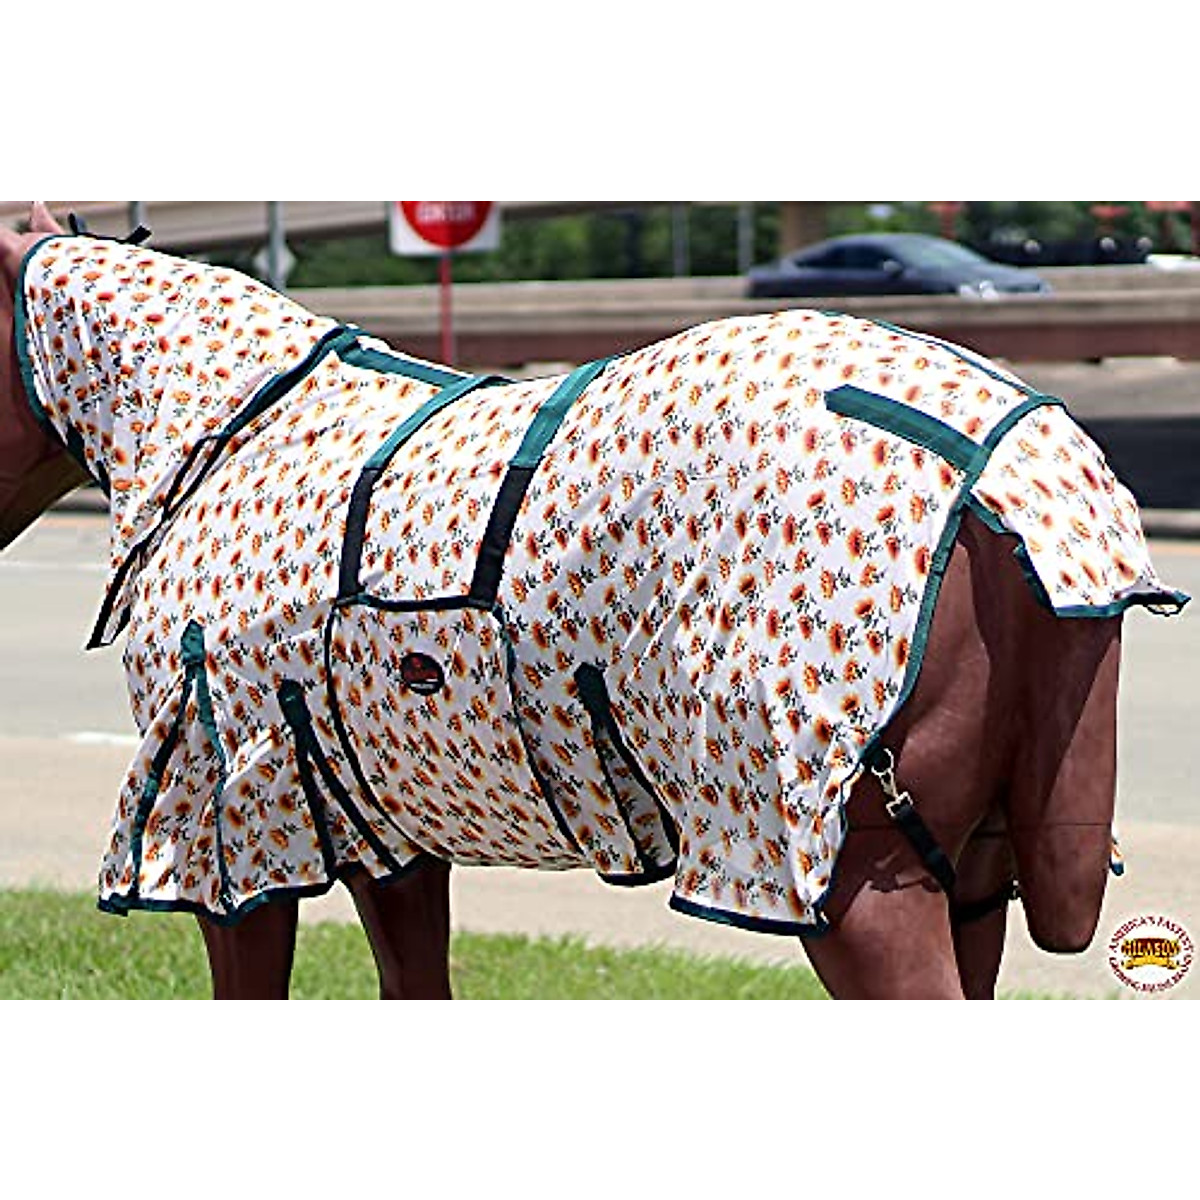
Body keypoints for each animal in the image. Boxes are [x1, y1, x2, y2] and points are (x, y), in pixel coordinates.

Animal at [0, 202, 1186, 999]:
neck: (236, 425)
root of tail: (1009, 473)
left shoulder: (225, 814)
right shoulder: (383, 818)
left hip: (846, 877)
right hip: (968, 869)